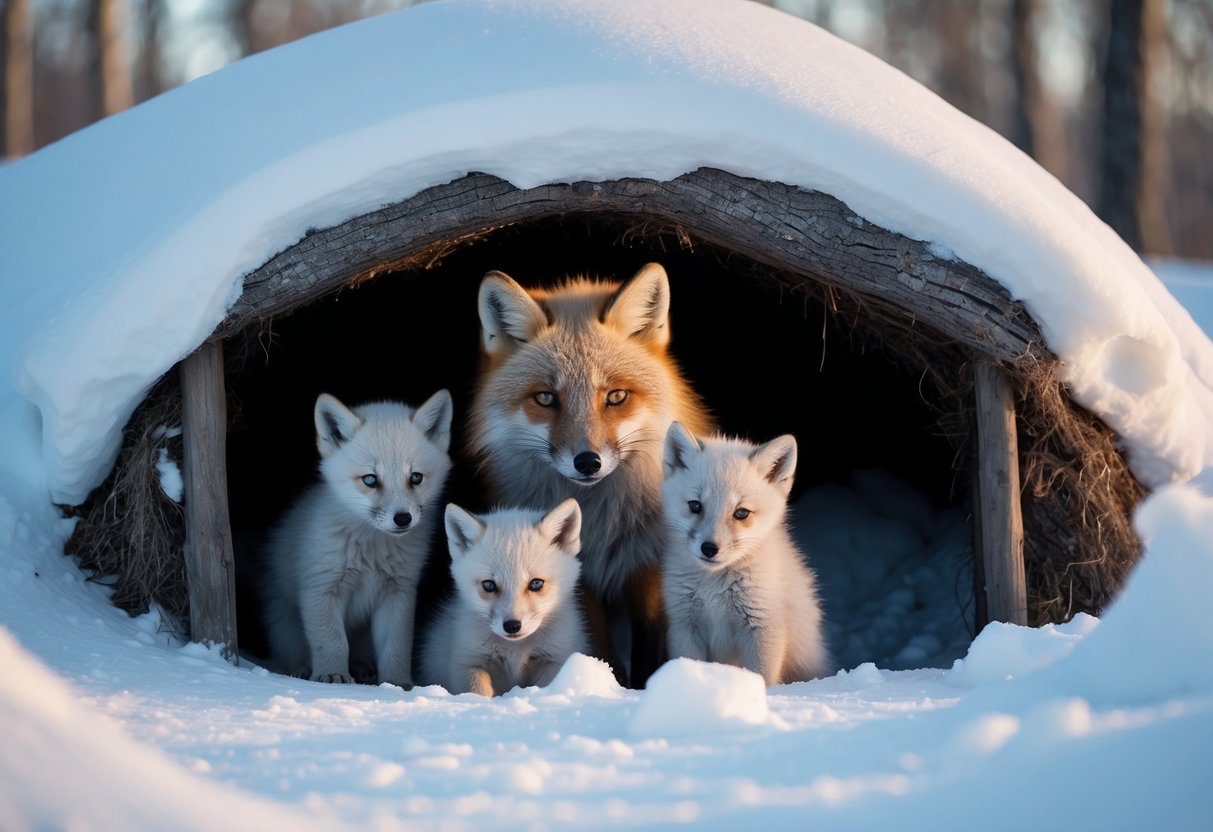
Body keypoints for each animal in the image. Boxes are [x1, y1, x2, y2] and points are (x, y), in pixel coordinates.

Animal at [260, 388, 453, 687]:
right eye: (370, 479)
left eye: (416, 478)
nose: (403, 519)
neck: (372, 551)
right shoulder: (321, 589)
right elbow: (332, 642)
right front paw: (331, 675)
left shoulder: (398, 592)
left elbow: (396, 647)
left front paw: (397, 684)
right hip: (285, 624)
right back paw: (302, 669)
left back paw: (363, 669)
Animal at [417, 498, 589, 697]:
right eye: (489, 585)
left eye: (536, 584)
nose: (512, 626)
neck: (515, 650)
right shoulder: (469, 660)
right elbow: (476, 693)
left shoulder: (553, 659)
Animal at [466, 262, 716, 688]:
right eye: (546, 398)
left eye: (616, 397)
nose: (587, 462)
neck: (601, 521)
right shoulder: (577, 577)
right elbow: (602, 646)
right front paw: (607, 682)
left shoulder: (649, 564)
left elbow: (650, 639)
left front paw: (645, 685)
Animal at [660, 421, 833, 686]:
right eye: (695, 505)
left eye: (741, 513)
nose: (709, 548)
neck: (714, 591)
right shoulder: (685, 625)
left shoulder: (762, 626)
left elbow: (762, 678)